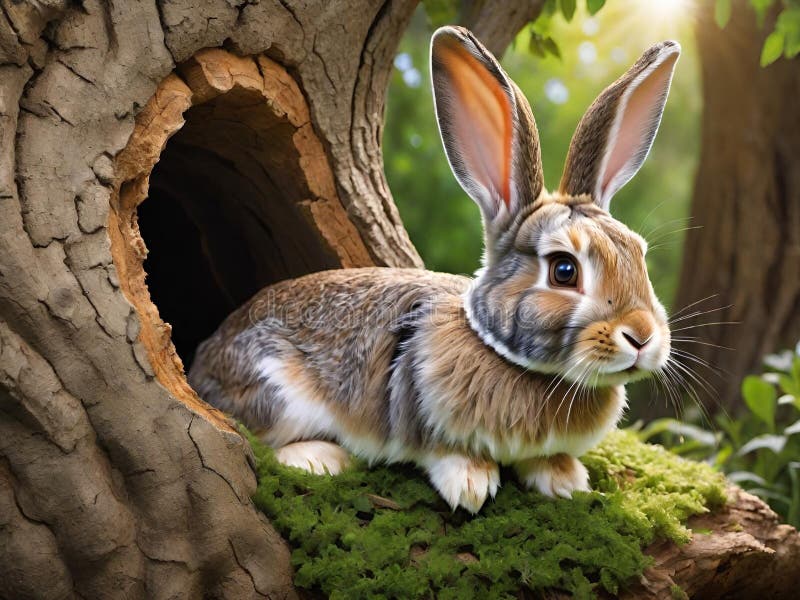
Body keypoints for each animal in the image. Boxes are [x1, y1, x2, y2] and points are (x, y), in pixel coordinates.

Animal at [188, 26, 679, 514]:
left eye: (638, 254)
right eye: (564, 270)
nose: (642, 336)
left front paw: (564, 480)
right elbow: (442, 452)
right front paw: (471, 484)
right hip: (275, 389)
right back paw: (319, 457)